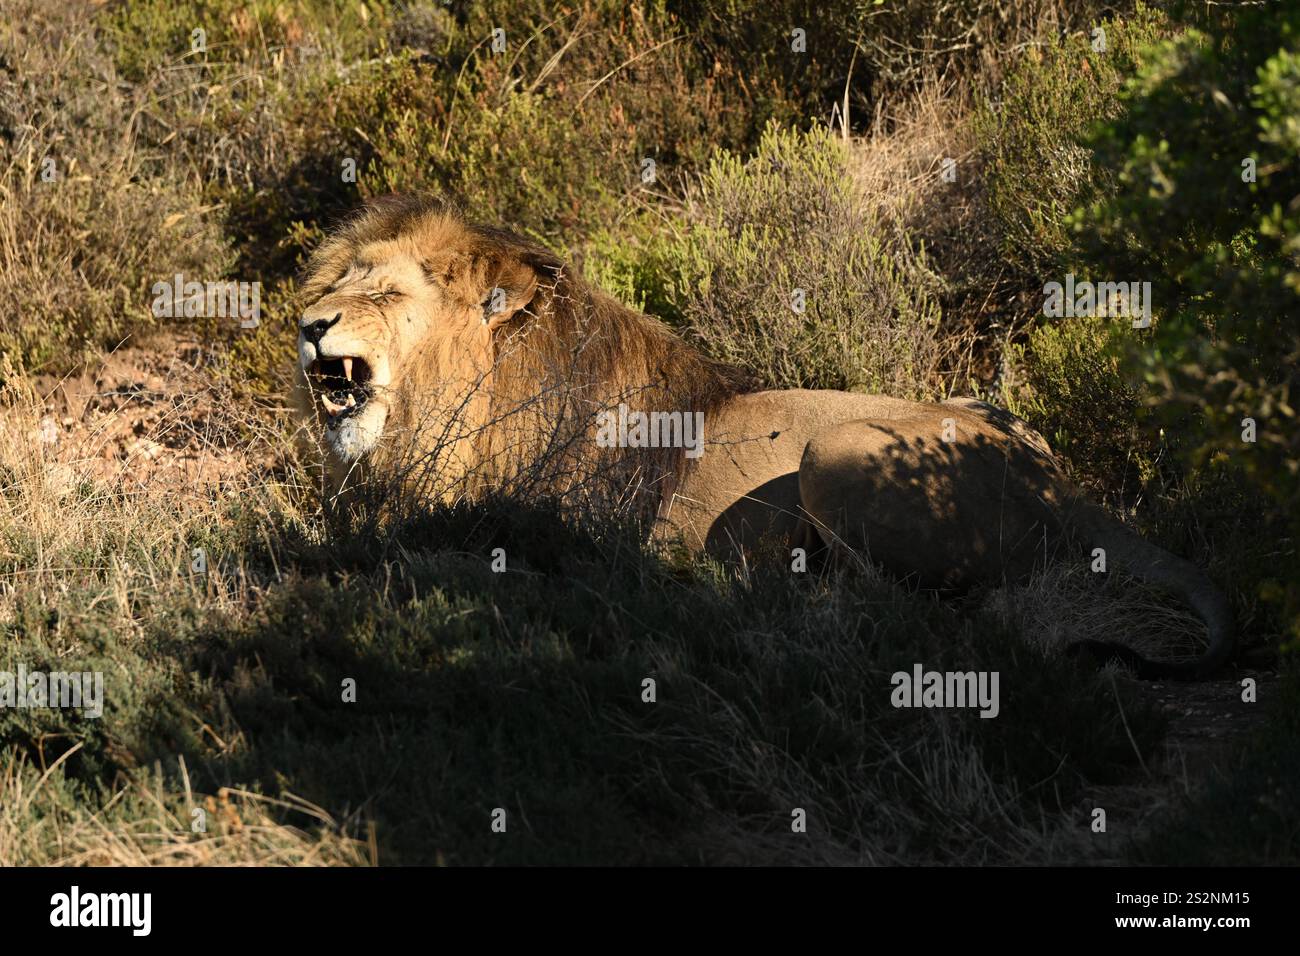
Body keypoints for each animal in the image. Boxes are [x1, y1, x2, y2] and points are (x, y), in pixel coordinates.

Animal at [293, 194, 1233, 679]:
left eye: (384, 293)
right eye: (336, 282)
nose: (307, 324)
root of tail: (1065, 487)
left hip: (833, 453)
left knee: (921, 609)